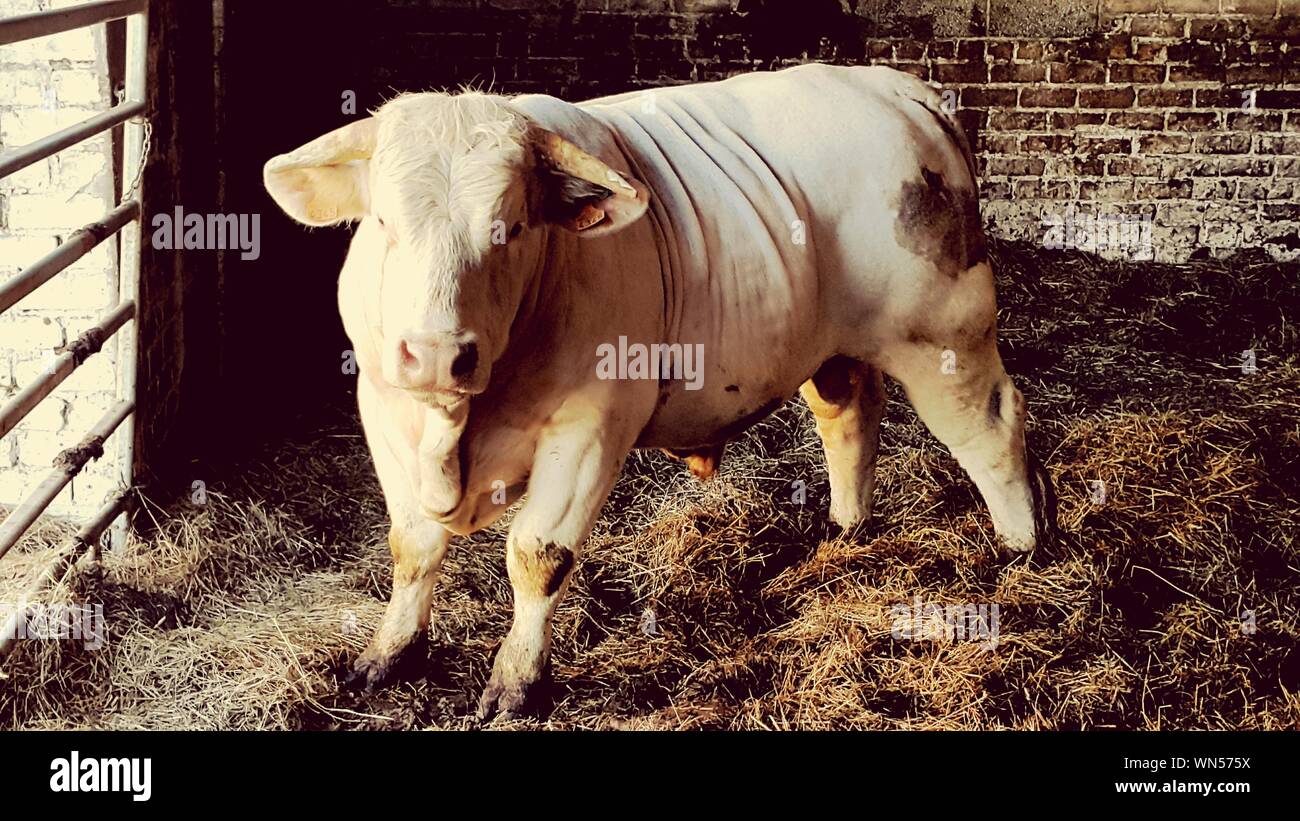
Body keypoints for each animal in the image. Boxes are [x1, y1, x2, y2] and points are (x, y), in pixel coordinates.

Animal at [263, 64, 1056, 721]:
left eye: (510, 228)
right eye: (385, 223)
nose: (435, 354)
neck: (458, 429)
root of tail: (897, 87)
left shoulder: (593, 425)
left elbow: (537, 554)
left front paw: (516, 681)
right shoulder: (381, 408)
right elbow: (412, 545)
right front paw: (387, 654)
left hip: (945, 335)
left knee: (992, 427)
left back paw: (1020, 548)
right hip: (835, 347)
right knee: (851, 415)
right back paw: (844, 529)